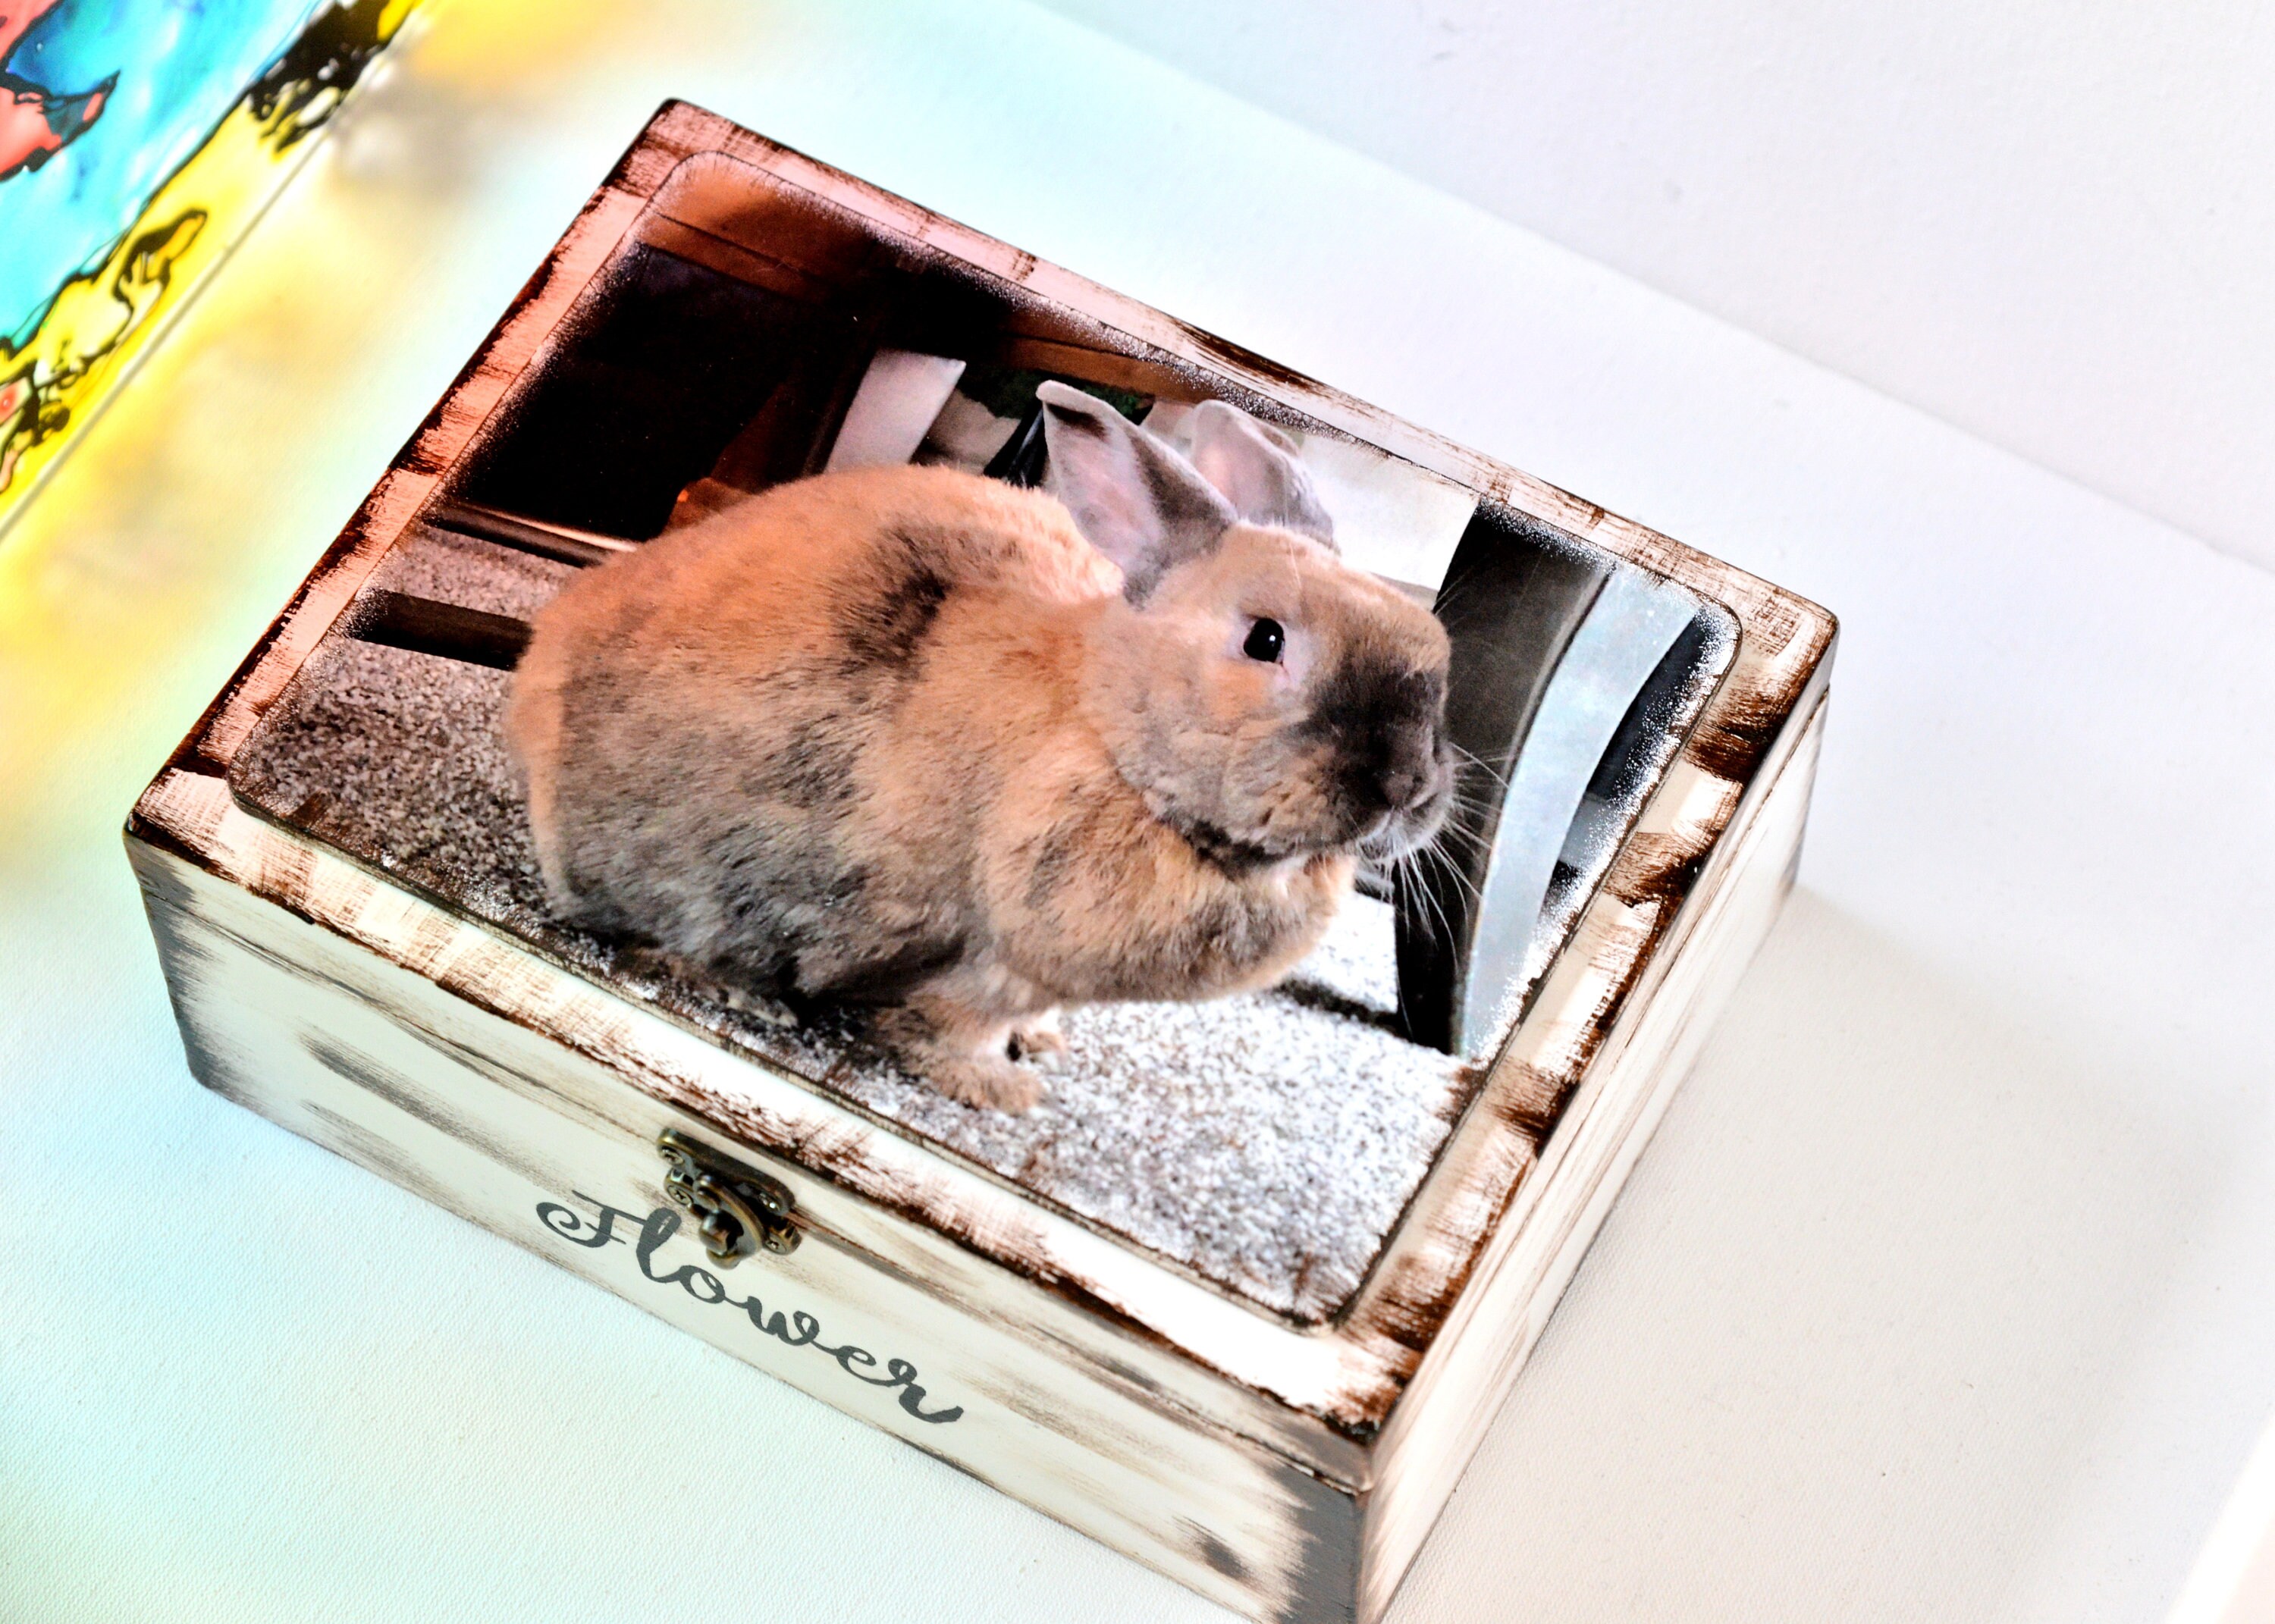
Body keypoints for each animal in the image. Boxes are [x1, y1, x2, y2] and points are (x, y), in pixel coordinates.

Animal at [505, 382, 1454, 1113]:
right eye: (1266, 641)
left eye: (1438, 661)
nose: (1406, 787)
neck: (1103, 727)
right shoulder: (984, 954)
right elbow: (961, 1022)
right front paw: (1001, 1092)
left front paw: (1044, 1047)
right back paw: (738, 993)